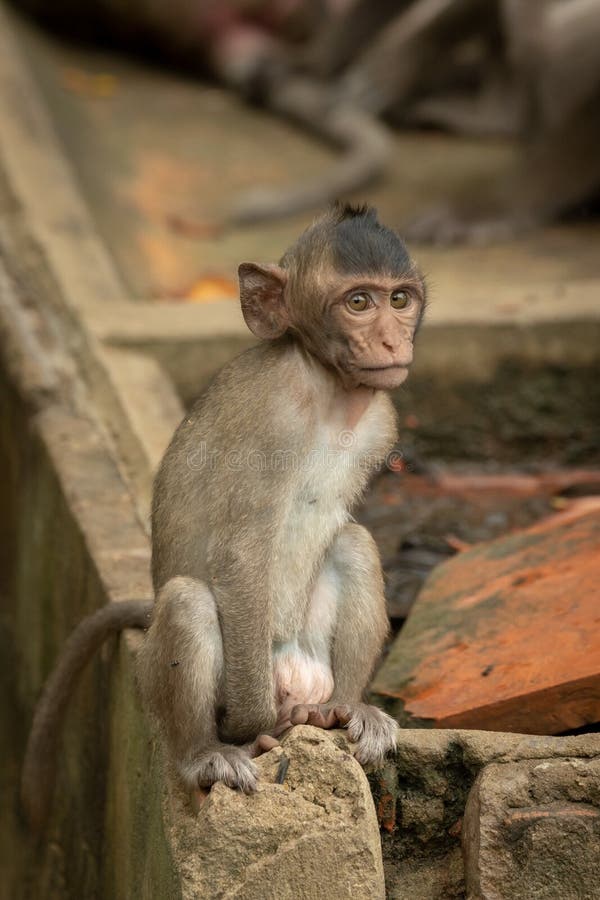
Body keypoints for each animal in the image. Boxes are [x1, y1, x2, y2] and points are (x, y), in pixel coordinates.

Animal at [22, 203, 426, 828]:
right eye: (359, 302)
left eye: (399, 299)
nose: (390, 338)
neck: (327, 387)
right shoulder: (272, 421)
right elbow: (240, 553)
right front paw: (251, 727)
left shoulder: (382, 418)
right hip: (194, 674)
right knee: (187, 604)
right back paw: (210, 752)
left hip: (308, 655)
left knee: (354, 544)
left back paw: (344, 710)